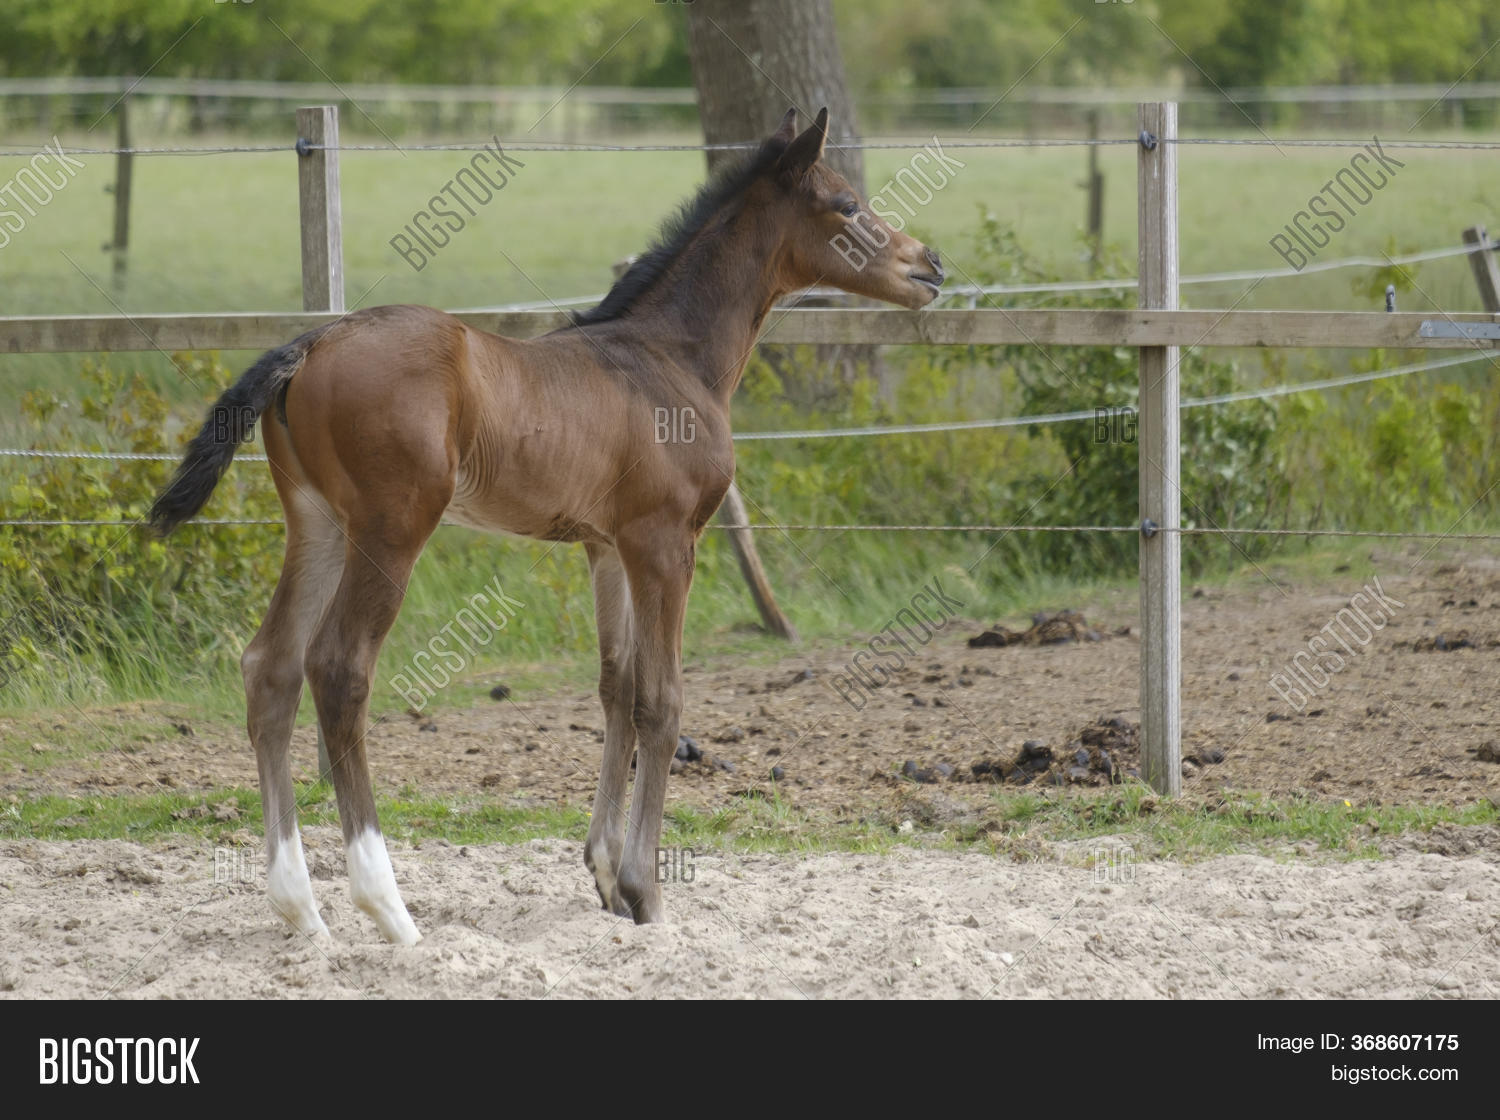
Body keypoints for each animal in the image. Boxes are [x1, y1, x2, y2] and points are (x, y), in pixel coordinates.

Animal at [149, 108, 944, 944]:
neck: (670, 358)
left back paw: (300, 908)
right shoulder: (666, 542)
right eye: (846, 205)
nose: (930, 265)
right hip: (392, 529)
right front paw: (647, 891)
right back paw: (388, 908)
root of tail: (310, 344)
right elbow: (662, 701)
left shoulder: (607, 547)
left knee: (269, 667)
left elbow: (616, 688)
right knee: (338, 669)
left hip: (317, 524)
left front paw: (606, 878)